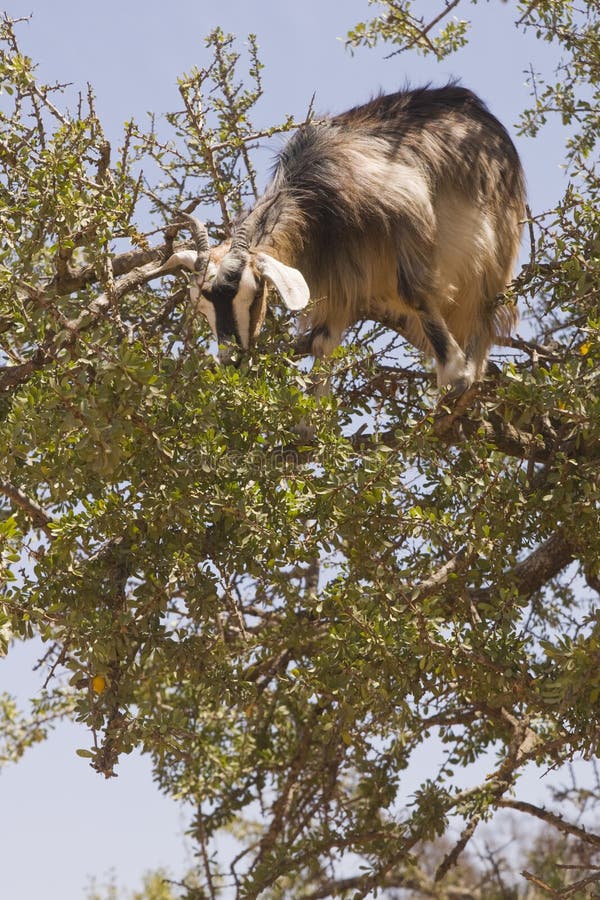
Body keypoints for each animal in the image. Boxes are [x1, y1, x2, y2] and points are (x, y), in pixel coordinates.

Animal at [162, 85, 526, 393]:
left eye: (251, 291)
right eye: (200, 303)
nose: (231, 359)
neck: (311, 186)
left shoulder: (407, 210)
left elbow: (413, 290)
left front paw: (455, 373)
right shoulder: (334, 265)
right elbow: (324, 339)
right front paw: (308, 424)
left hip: (494, 241)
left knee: (484, 303)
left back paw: (470, 374)